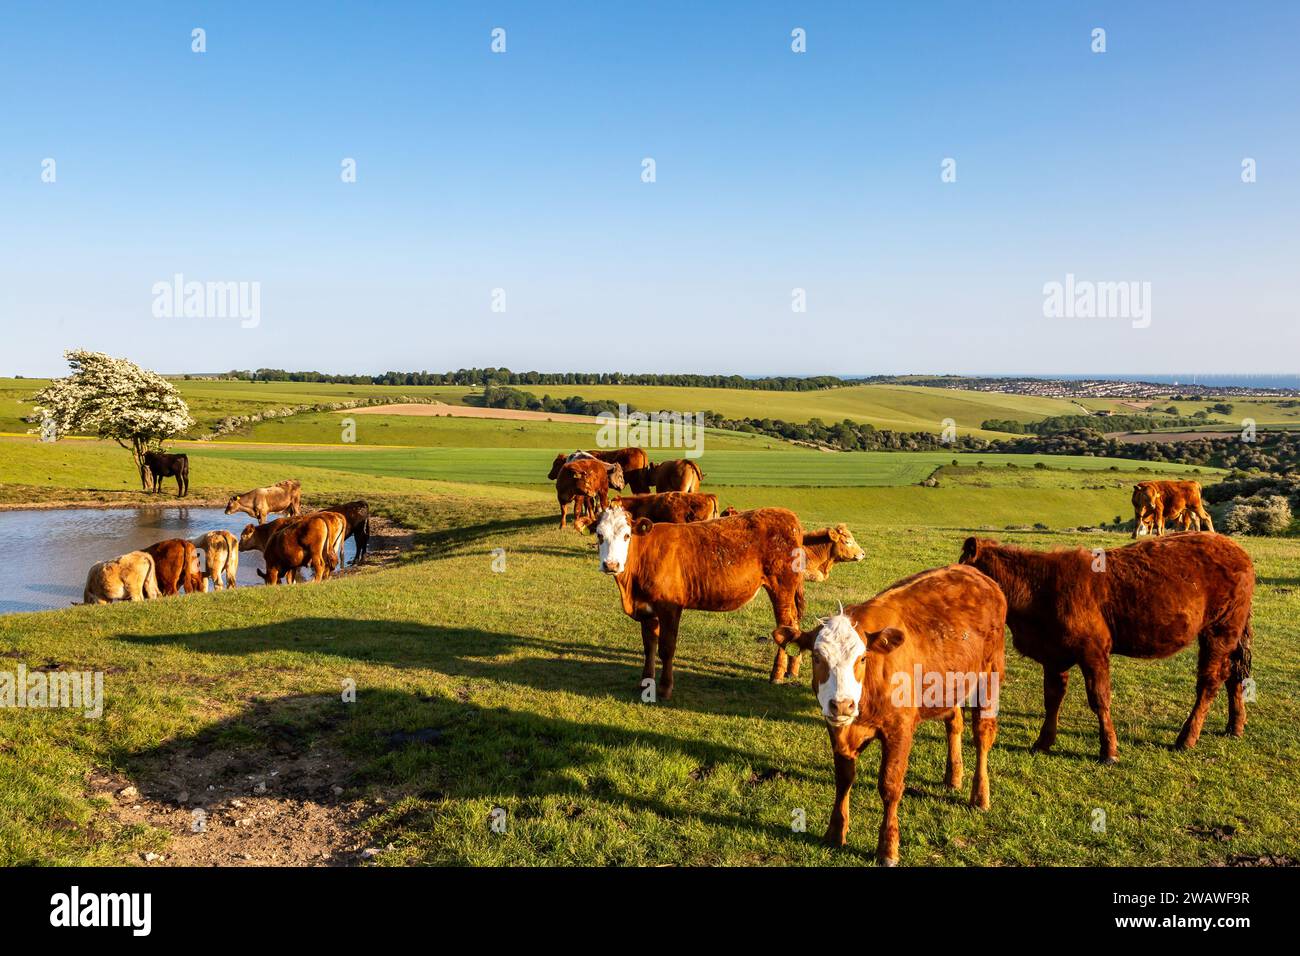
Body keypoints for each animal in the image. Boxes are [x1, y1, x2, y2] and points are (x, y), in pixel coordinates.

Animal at [593, 506, 806, 697]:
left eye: (627, 535)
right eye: (599, 535)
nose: (611, 564)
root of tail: (788, 515)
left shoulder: (670, 607)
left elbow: (666, 648)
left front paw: (665, 688)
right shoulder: (647, 610)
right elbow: (649, 647)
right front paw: (646, 683)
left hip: (782, 587)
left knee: (785, 624)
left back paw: (777, 674)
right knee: (793, 624)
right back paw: (792, 670)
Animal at [774, 565, 1005, 864]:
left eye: (862, 658)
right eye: (816, 657)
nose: (843, 705)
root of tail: (974, 573)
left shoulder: (899, 729)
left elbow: (890, 785)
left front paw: (888, 847)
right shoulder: (837, 728)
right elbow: (843, 779)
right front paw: (835, 832)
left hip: (990, 675)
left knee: (982, 736)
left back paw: (980, 796)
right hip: (951, 683)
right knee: (954, 723)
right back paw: (953, 777)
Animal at [960, 533, 1254, 762]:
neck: (1040, 588)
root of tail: (1235, 548)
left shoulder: (1094, 651)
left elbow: (1099, 699)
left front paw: (1108, 750)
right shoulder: (1054, 655)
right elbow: (1052, 699)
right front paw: (1043, 742)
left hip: (1219, 630)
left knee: (1210, 681)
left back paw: (1187, 737)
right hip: (1230, 635)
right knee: (1234, 674)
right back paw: (1234, 725)